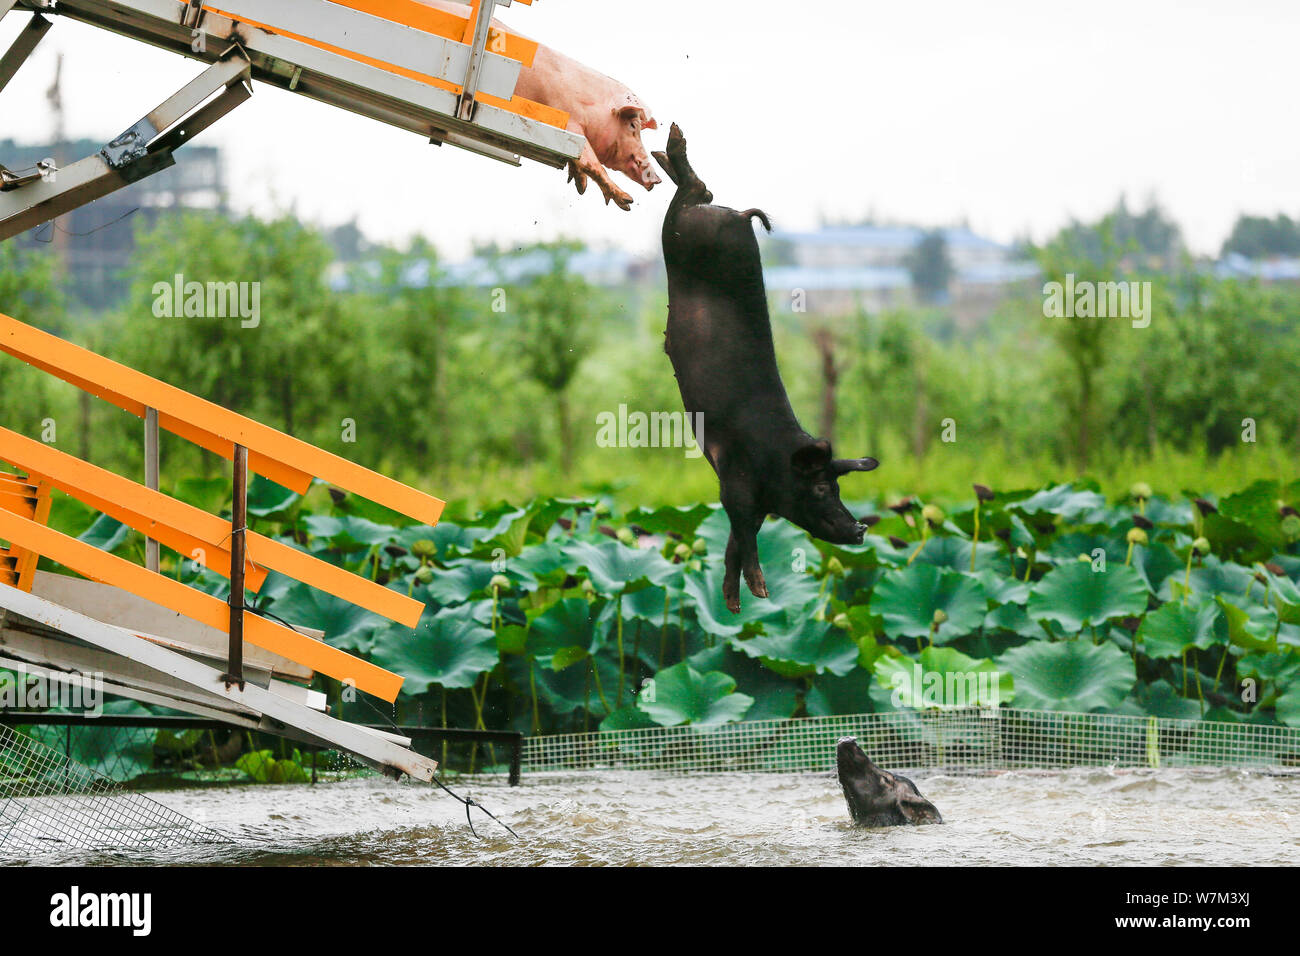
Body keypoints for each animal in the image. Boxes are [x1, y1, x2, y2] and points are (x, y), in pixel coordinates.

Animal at [416, 1, 660, 209]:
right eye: (633, 126)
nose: (657, 179)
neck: (593, 106)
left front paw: (580, 186)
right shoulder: (569, 120)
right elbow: (590, 159)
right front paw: (627, 201)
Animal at [655, 124, 879, 613]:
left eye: (840, 488)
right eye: (821, 489)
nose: (859, 528)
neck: (776, 462)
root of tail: (741, 217)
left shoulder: (753, 504)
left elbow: (736, 543)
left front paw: (734, 604)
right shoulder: (734, 484)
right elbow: (743, 534)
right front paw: (759, 592)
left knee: (700, 190)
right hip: (681, 232)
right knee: (690, 194)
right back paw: (672, 147)